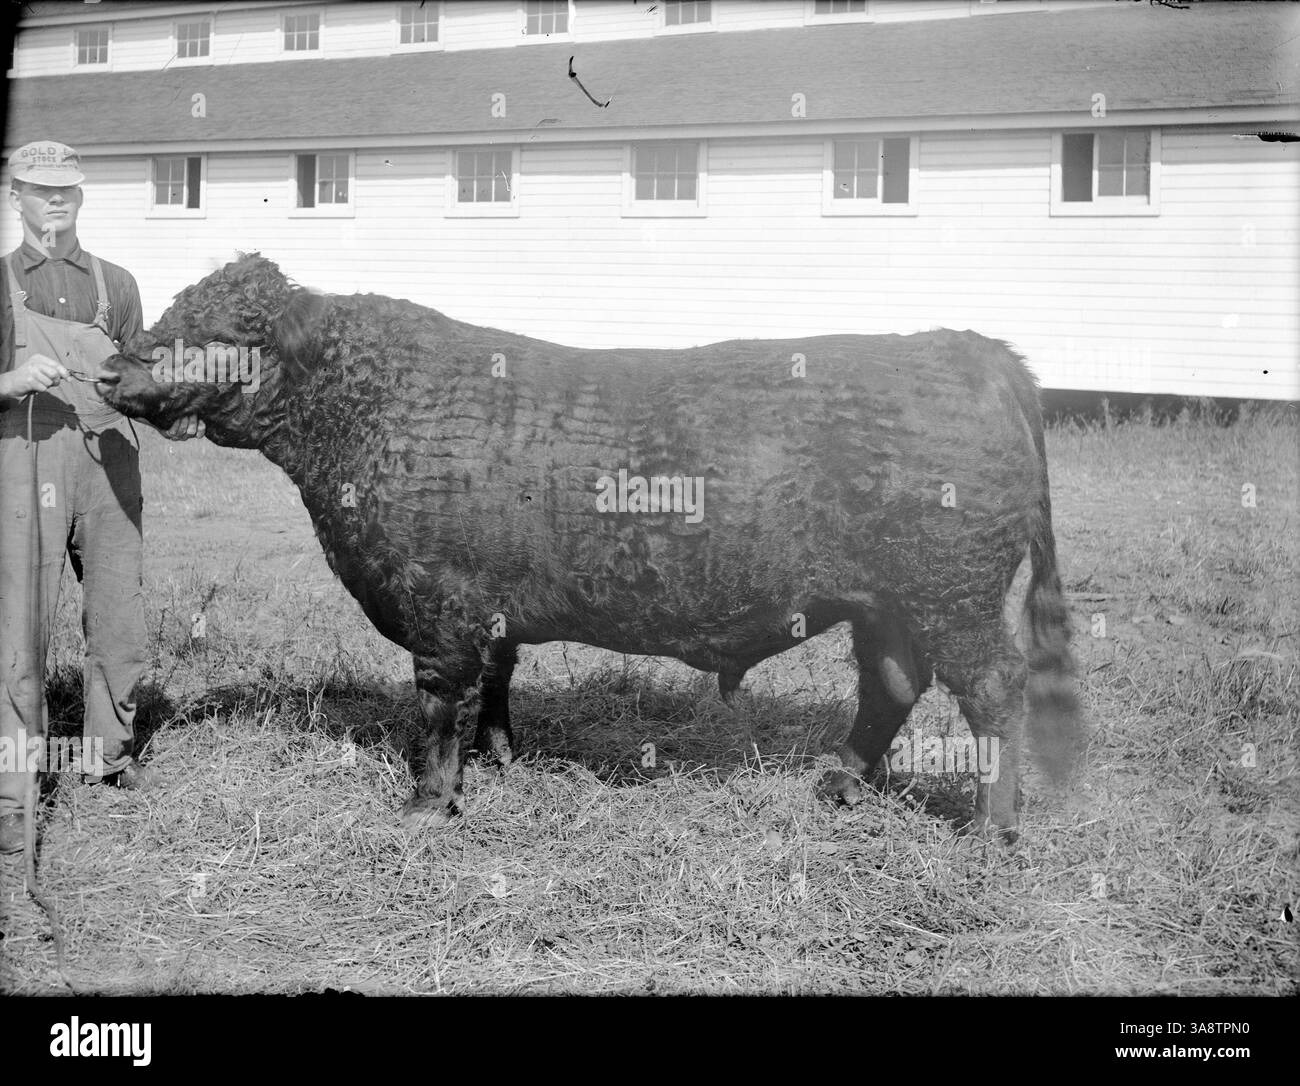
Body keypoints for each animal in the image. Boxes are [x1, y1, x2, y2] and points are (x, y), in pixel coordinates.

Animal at [97, 254, 1083, 841]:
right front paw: (499, 758)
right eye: (173, 306)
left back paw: (992, 832)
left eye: (225, 335)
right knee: (892, 684)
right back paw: (838, 784)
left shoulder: (437, 607)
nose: (109, 369)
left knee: (992, 692)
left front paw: (426, 804)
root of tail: (975, 350)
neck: (368, 406)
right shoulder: (484, 610)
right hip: (889, 600)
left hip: (952, 592)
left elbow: (437, 706)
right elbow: (495, 685)